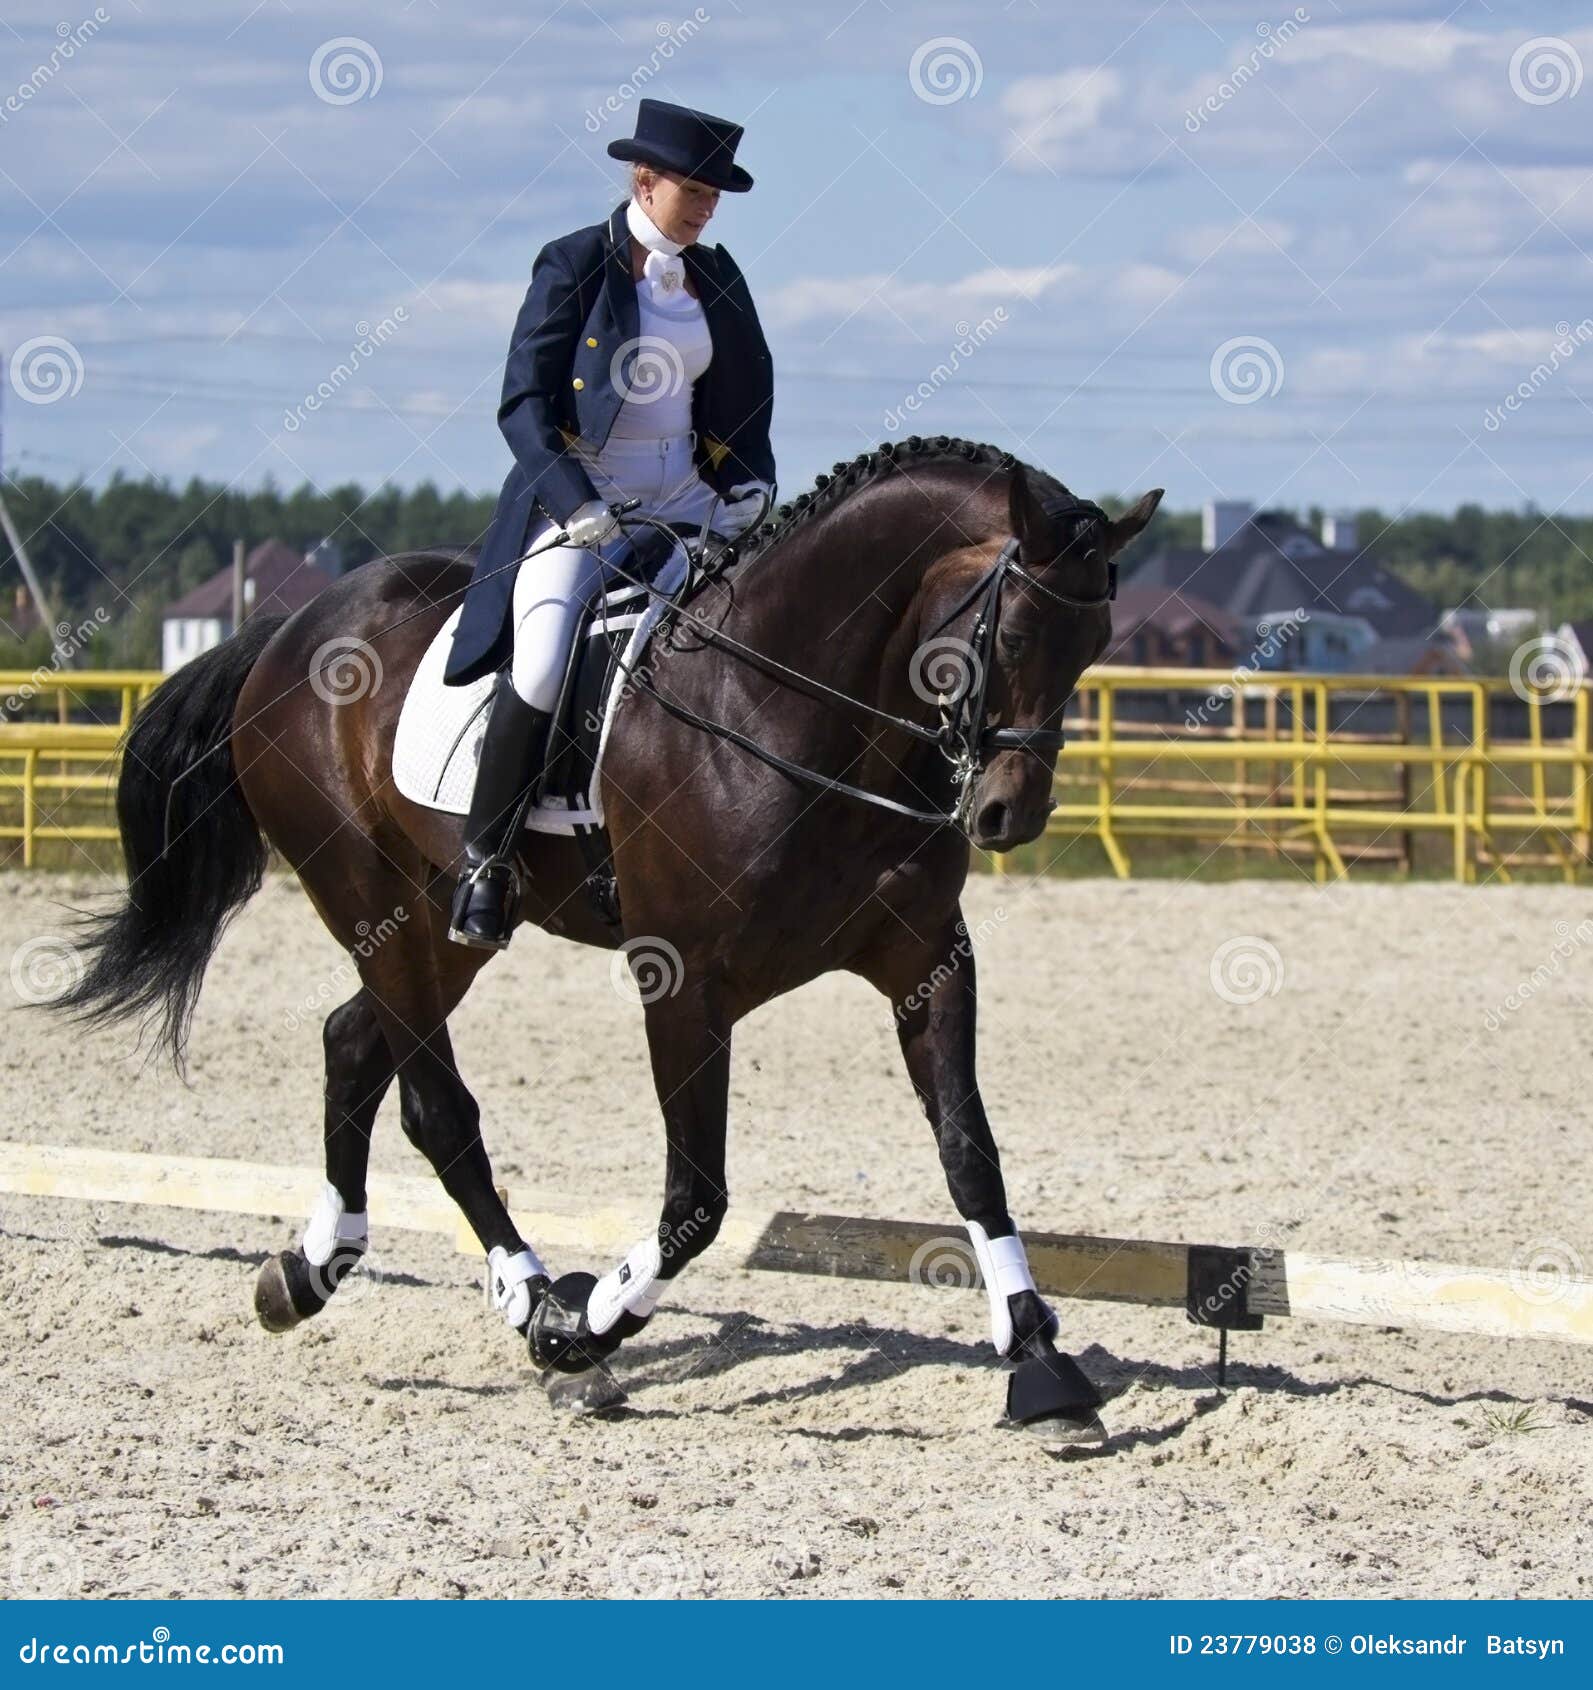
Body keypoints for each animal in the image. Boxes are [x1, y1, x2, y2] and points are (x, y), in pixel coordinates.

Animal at [56, 435, 1161, 1443]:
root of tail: (291, 627)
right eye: (1012, 635)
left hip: (441, 926)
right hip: (373, 904)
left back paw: (307, 1271)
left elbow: (970, 1153)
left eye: (1095, 643)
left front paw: (1042, 1364)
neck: (796, 711)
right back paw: (535, 1308)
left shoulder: (926, 958)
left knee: (351, 1041)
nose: (1010, 814)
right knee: (434, 1106)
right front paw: (584, 1327)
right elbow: (697, 1198)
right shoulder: (682, 983)